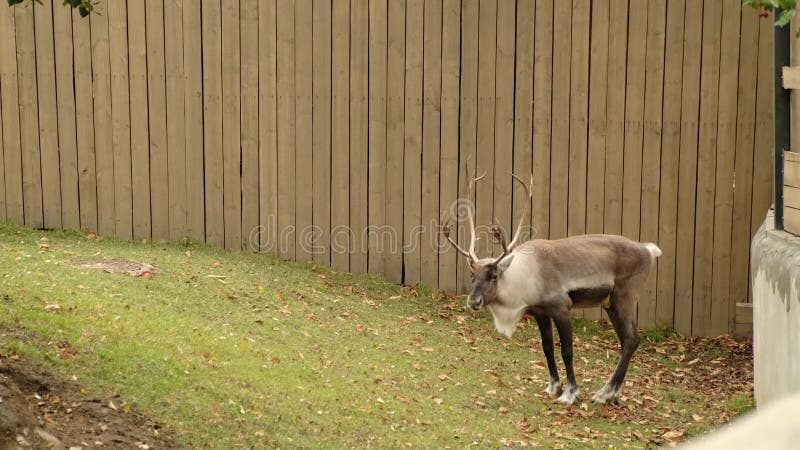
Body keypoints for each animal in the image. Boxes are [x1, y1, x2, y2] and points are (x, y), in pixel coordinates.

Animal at [440, 167, 662, 405]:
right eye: (473, 274)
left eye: (493, 275)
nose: (473, 301)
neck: (523, 277)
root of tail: (648, 250)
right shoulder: (540, 312)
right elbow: (547, 348)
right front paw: (553, 386)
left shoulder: (561, 308)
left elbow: (567, 350)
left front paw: (570, 393)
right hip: (610, 303)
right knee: (626, 341)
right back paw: (612, 392)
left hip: (625, 296)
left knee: (631, 340)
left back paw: (604, 393)